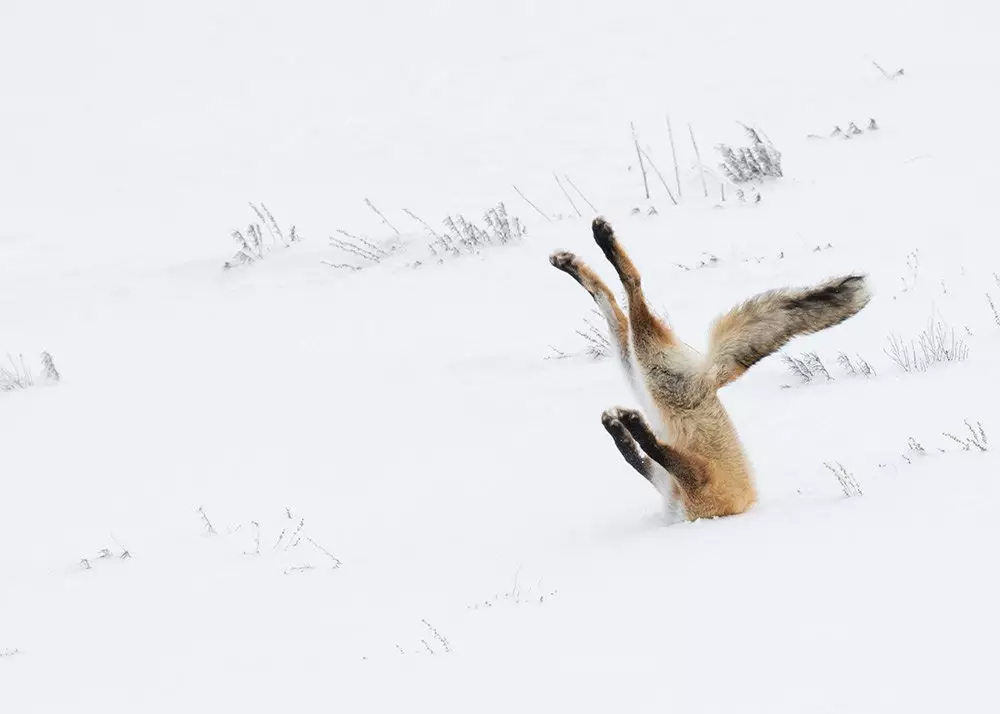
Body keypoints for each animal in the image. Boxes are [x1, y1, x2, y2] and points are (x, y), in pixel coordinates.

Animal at [552, 216, 872, 516]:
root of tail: (710, 377)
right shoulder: (673, 481)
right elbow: (636, 455)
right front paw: (620, 426)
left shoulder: (697, 481)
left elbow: (650, 450)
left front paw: (629, 425)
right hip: (641, 370)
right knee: (611, 301)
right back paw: (573, 261)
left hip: (650, 369)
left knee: (632, 287)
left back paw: (601, 243)